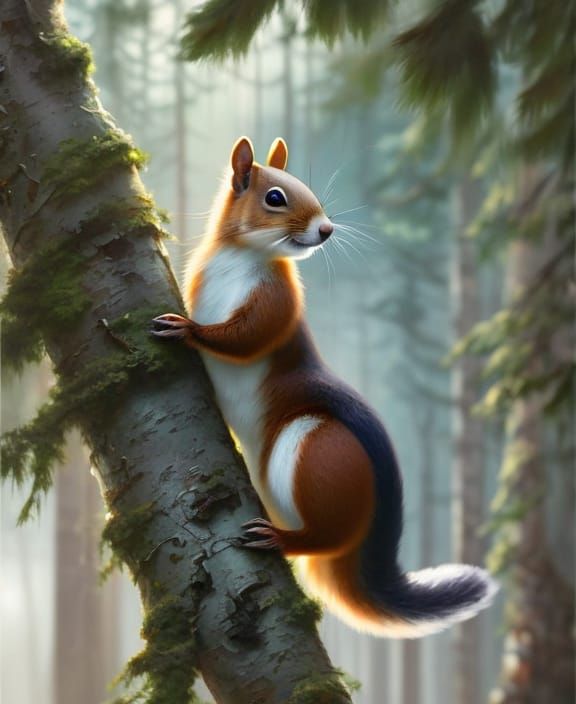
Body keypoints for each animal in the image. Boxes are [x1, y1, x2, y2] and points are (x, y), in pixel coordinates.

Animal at [152, 136, 497, 637]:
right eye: (275, 197)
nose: (327, 229)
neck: (242, 256)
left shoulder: (277, 304)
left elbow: (246, 337)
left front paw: (188, 330)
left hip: (316, 449)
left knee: (320, 538)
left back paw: (280, 538)